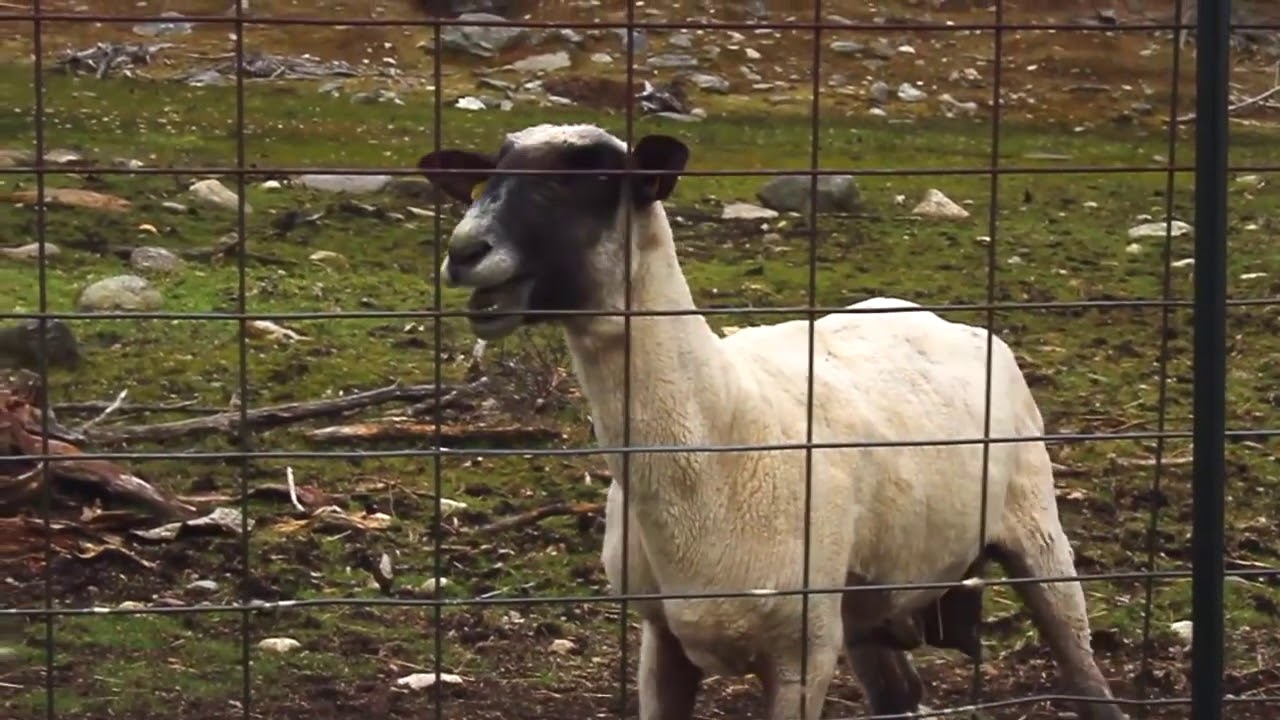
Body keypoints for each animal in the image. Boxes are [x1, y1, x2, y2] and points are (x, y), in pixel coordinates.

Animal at [418, 122, 1129, 720]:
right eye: (489, 175)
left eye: (586, 179)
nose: (465, 250)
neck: (719, 433)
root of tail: (939, 317)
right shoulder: (662, 639)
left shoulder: (801, 653)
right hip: (869, 597)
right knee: (899, 695)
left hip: (1034, 526)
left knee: (1086, 676)